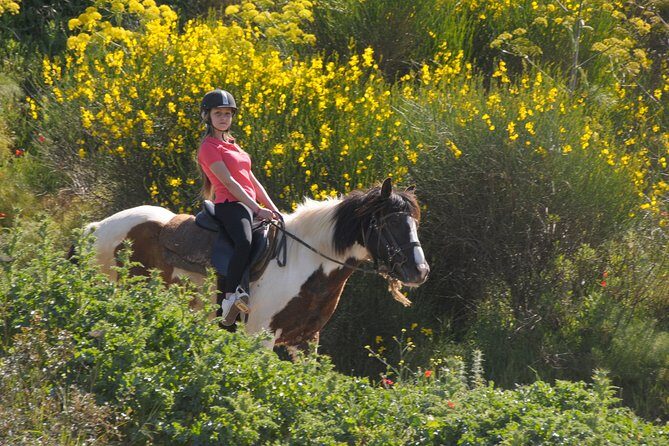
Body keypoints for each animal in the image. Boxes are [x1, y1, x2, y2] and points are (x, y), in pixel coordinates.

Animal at [77, 178, 430, 352]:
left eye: (414, 223)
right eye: (391, 224)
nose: (420, 271)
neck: (306, 262)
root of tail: (96, 228)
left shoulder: (305, 340)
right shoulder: (261, 336)